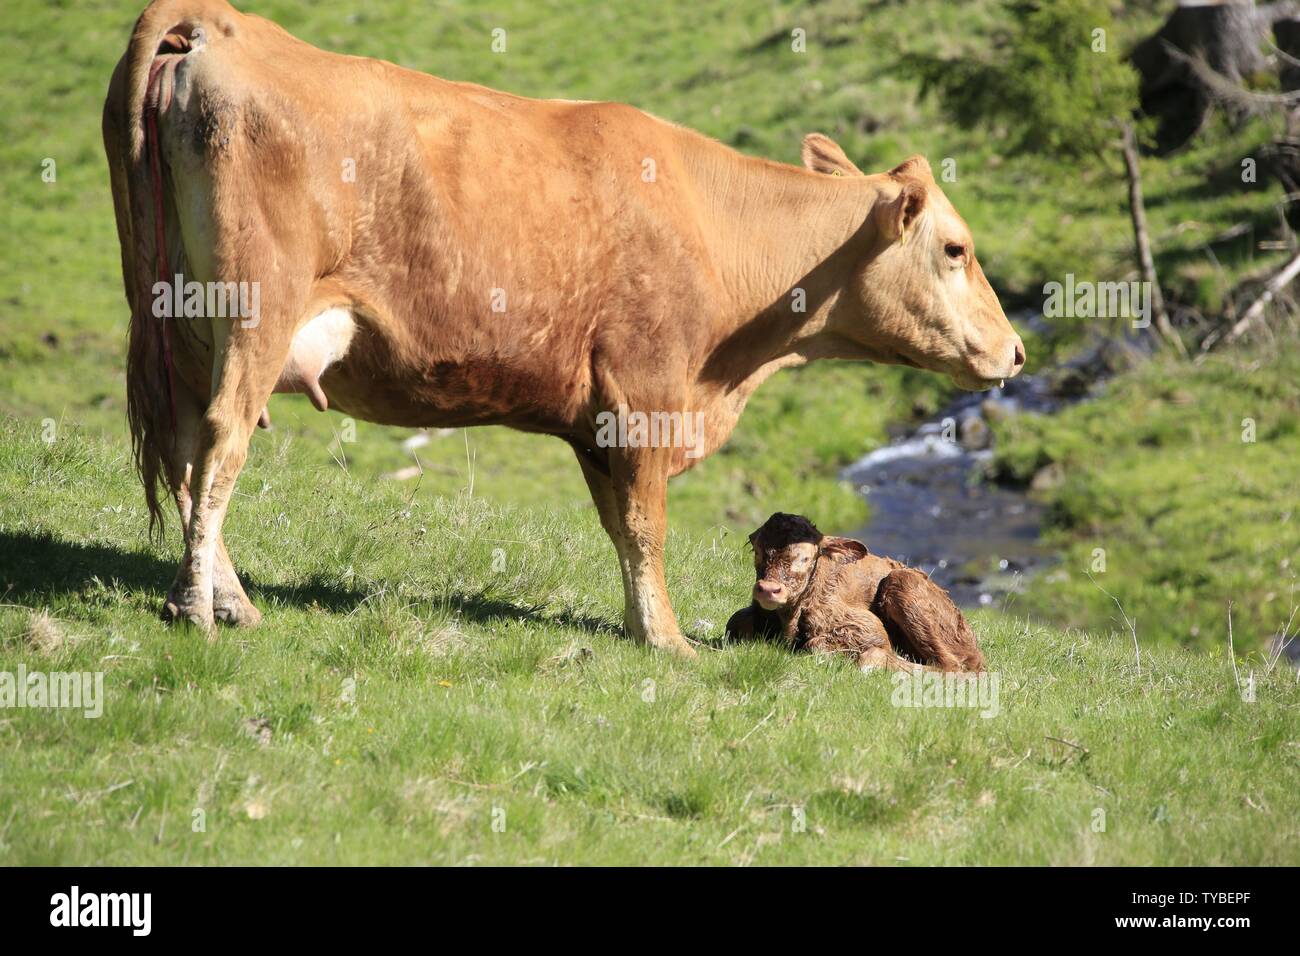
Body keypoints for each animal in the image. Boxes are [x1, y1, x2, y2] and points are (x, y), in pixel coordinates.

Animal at [102, 0, 1025, 658]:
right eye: (956, 247)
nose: (1016, 350)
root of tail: (220, 22)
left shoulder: (596, 416)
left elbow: (619, 525)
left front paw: (637, 627)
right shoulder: (647, 389)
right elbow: (648, 524)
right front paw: (669, 642)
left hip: (177, 325)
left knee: (183, 450)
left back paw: (220, 599)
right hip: (254, 310)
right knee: (221, 443)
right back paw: (204, 611)